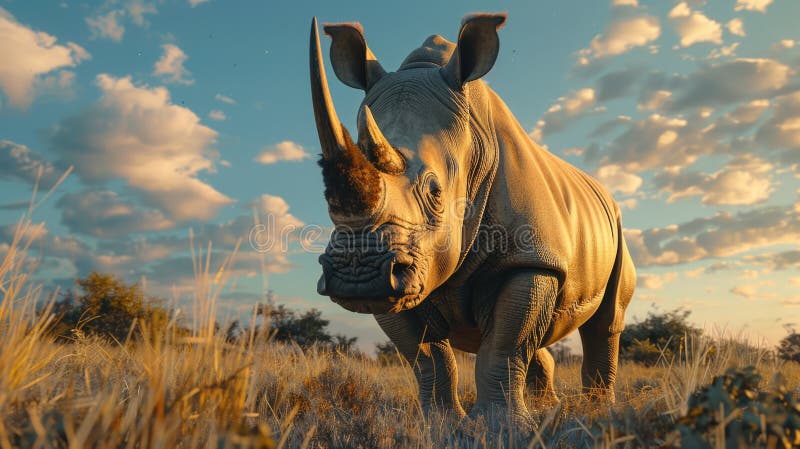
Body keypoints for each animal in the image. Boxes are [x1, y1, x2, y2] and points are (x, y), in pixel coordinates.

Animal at [310, 13, 636, 423]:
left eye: (435, 192)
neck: (474, 146)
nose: (357, 273)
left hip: (618, 229)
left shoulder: (532, 260)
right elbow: (427, 357)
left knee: (605, 323)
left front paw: (504, 426)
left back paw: (597, 410)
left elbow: (505, 345)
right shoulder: (397, 285)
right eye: (326, 198)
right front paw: (441, 422)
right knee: (540, 339)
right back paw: (550, 407)